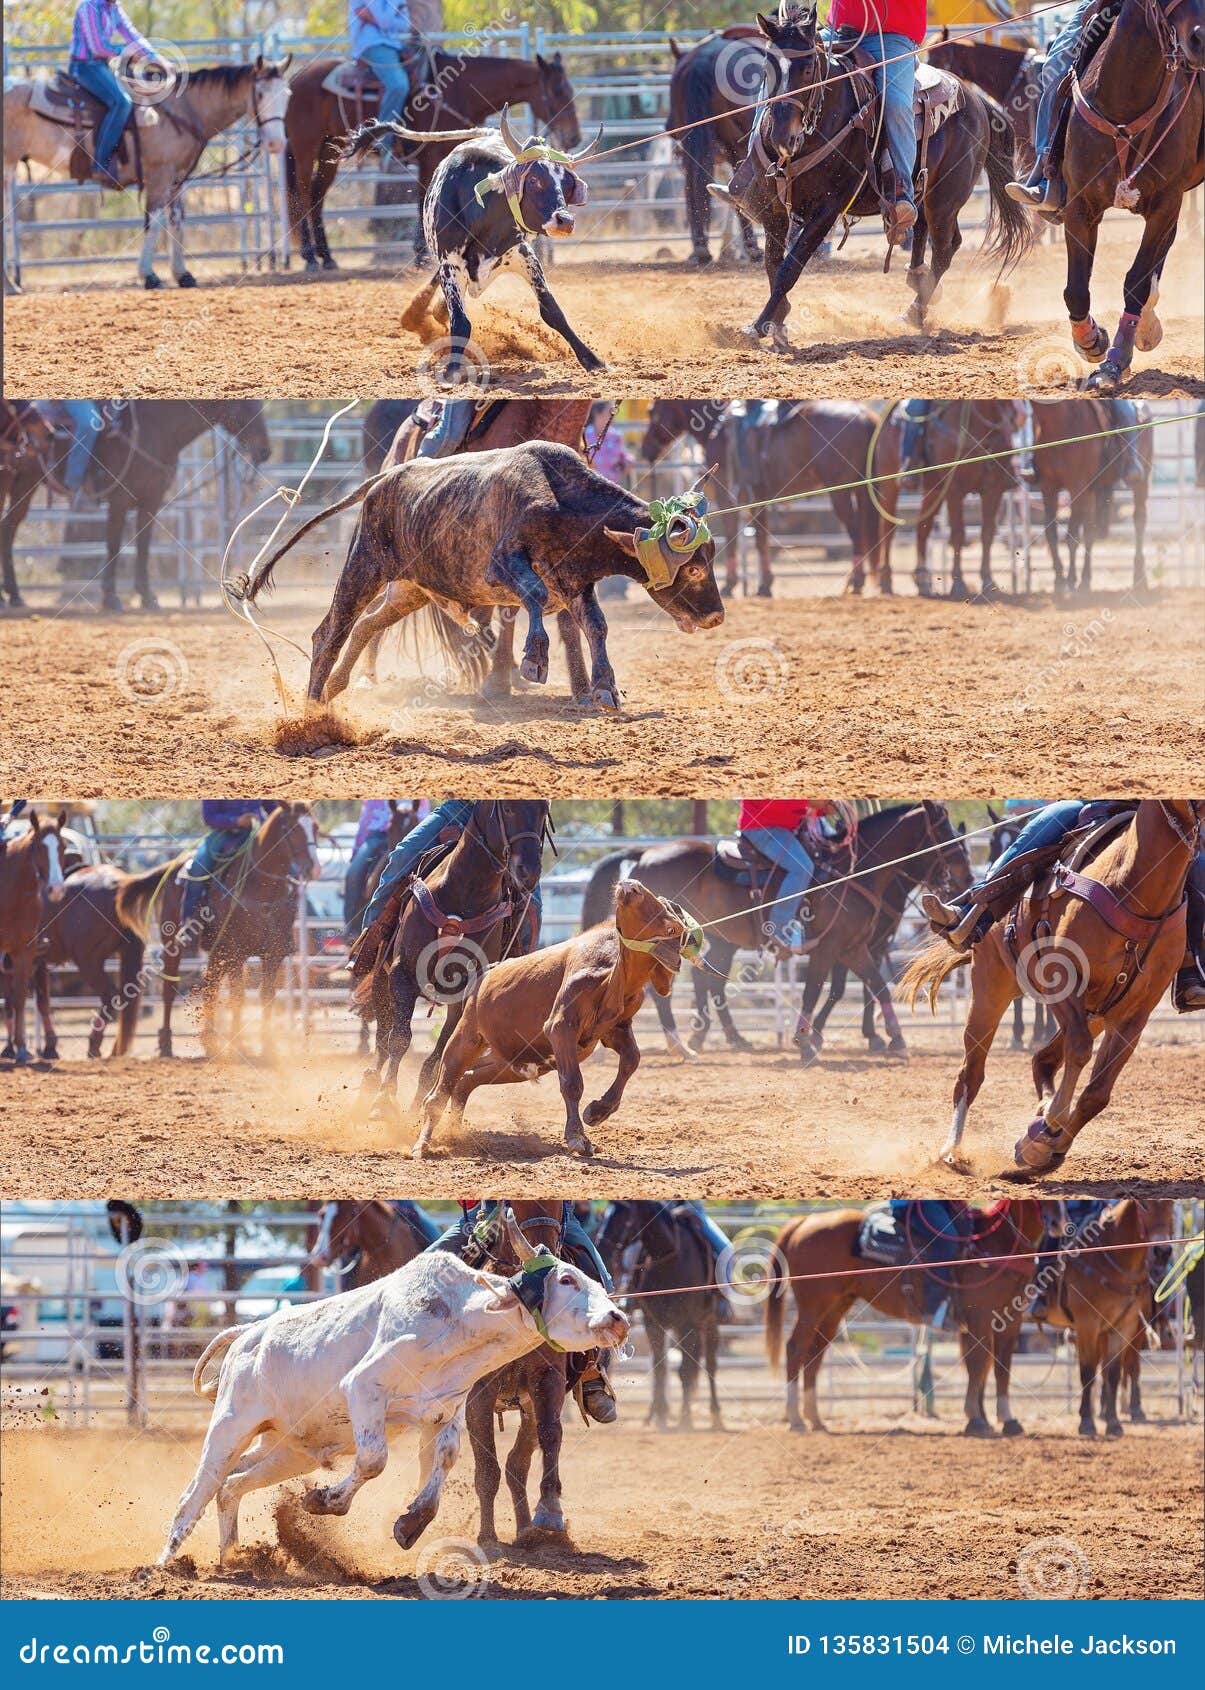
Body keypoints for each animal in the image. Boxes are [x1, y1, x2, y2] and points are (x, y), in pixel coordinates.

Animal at [158, 1209, 629, 1568]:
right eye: (566, 1280)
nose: (618, 1318)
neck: (460, 1319)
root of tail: (246, 1333)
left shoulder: (444, 1413)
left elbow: (443, 1462)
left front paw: (410, 1524)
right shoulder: (365, 1387)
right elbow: (373, 1459)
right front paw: (324, 1501)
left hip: (290, 1450)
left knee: (230, 1486)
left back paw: (233, 1558)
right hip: (231, 1425)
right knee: (194, 1492)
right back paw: (167, 1566)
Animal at [238, 439, 725, 711]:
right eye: (693, 567)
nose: (717, 616)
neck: (561, 498)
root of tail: (384, 479)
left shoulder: (575, 583)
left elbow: (596, 626)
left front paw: (605, 688)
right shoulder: (503, 564)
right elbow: (532, 595)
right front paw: (533, 659)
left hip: (409, 590)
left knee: (366, 626)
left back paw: (335, 689)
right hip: (364, 564)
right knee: (329, 632)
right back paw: (311, 709)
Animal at [343, 105, 605, 381]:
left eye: (566, 184)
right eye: (534, 180)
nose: (565, 221)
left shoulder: (523, 255)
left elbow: (552, 311)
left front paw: (591, 359)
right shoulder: (450, 262)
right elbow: (460, 321)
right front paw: (452, 368)